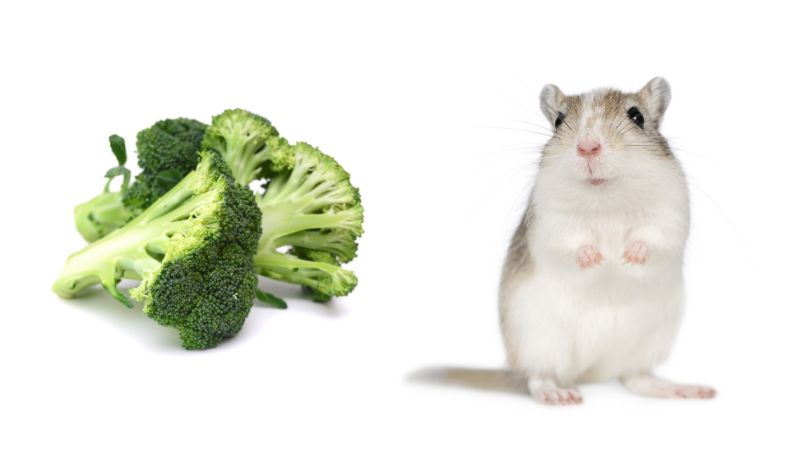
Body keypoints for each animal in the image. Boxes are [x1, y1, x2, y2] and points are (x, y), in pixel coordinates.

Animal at [499, 78, 715, 405]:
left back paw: (681, 389)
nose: (587, 147)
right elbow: (567, 241)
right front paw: (597, 259)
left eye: (636, 116)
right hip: (538, 338)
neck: (604, 193)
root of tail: (591, 371)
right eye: (559, 121)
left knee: (636, 378)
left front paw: (628, 257)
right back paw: (557, 394)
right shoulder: (551, 219)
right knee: (538, 377)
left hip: (648, 340)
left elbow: (655, 236)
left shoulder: (670, 212)